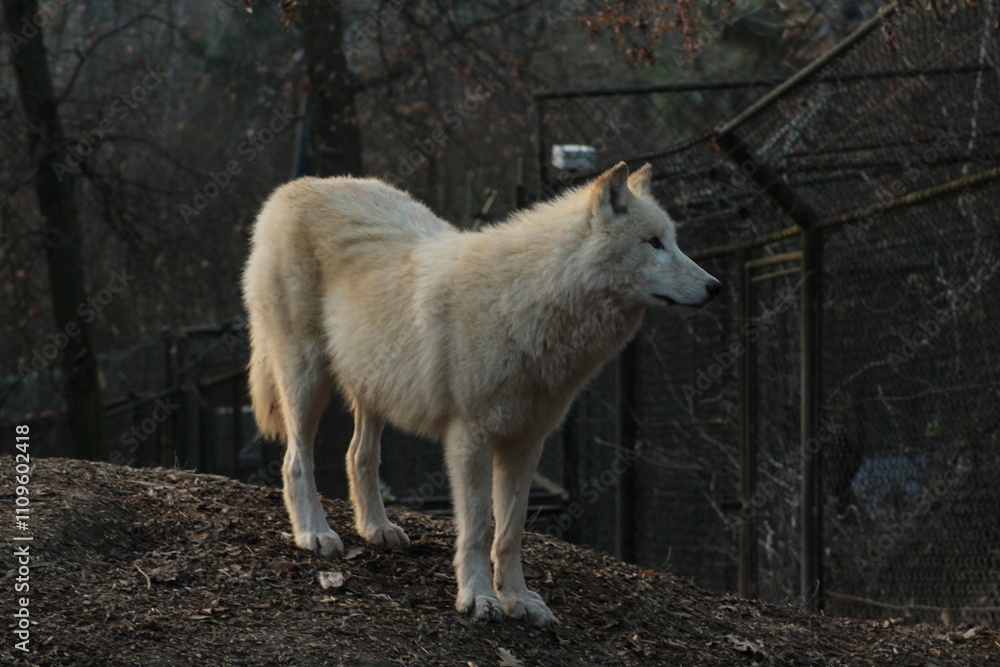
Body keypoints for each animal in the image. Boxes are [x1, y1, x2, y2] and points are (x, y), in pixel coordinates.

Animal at [242, 162, 720, 627]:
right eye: (654, 243)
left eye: (674, 241)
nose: (716, 287)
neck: (531, 300)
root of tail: (295, 187)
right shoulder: (470, 438)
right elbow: (478, 529)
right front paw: (478, 598)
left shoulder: (526, 443)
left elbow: (510, 533)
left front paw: (519, 600)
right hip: (305, 377)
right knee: (295, 460)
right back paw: (314, 534)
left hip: (374, 387)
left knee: (358, 454)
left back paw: (377, 528)